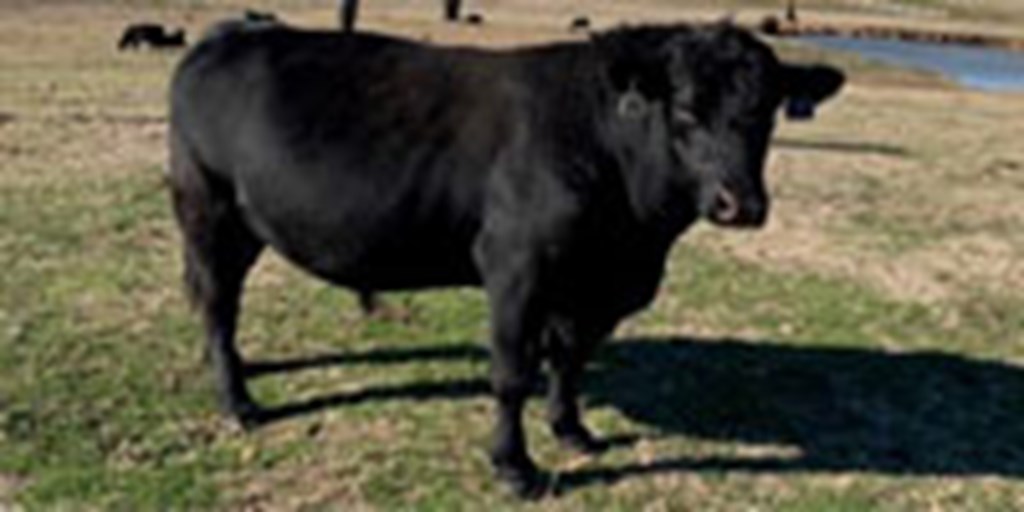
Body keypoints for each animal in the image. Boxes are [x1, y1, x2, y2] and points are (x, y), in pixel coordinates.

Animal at [168, 21, 843, 498]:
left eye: (769, 111)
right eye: (684, 110)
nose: (741, 203)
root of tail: (226, 34)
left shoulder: (591, 286)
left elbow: (569, 359)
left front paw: (572, 431)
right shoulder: (518, 267)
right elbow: (513, 373)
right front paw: (514, 467)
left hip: (244, 225)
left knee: (221, 302)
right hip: (208, 207)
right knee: (218, 302)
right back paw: (239, 402)